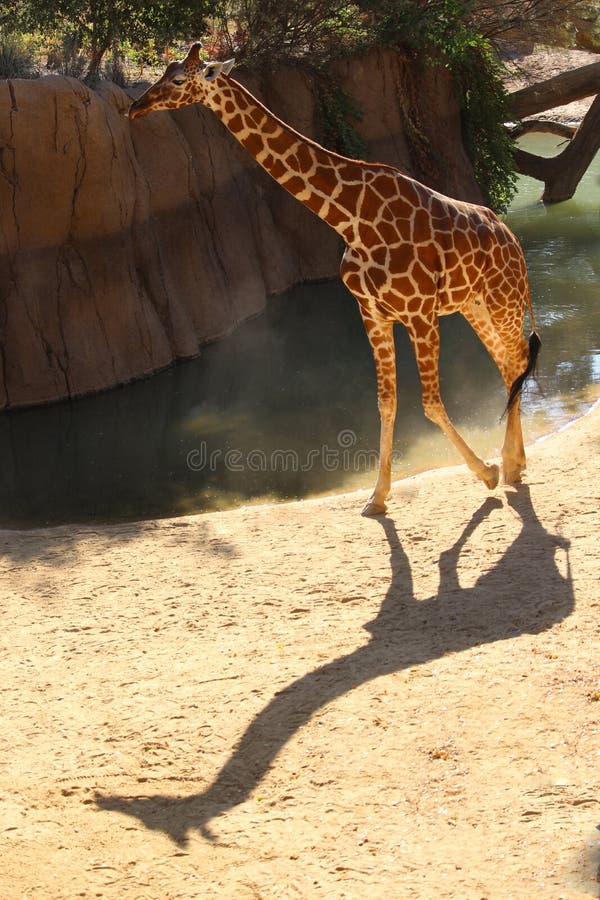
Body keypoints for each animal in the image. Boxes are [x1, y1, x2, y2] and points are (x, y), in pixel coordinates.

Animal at [129, 42, 540, 516]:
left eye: (179, 79)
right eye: (165, 72)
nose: (135, 107)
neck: (351, 218)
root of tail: (516, 244)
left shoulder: (419, 313)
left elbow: (430, 402)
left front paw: (486, 473)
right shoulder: (372, 312)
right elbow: (386, 402)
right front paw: (377, 497)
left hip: (503, 300)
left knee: (516, 360)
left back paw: (509, 465)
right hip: (474, 305)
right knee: (508, 363)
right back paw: (515, 463)